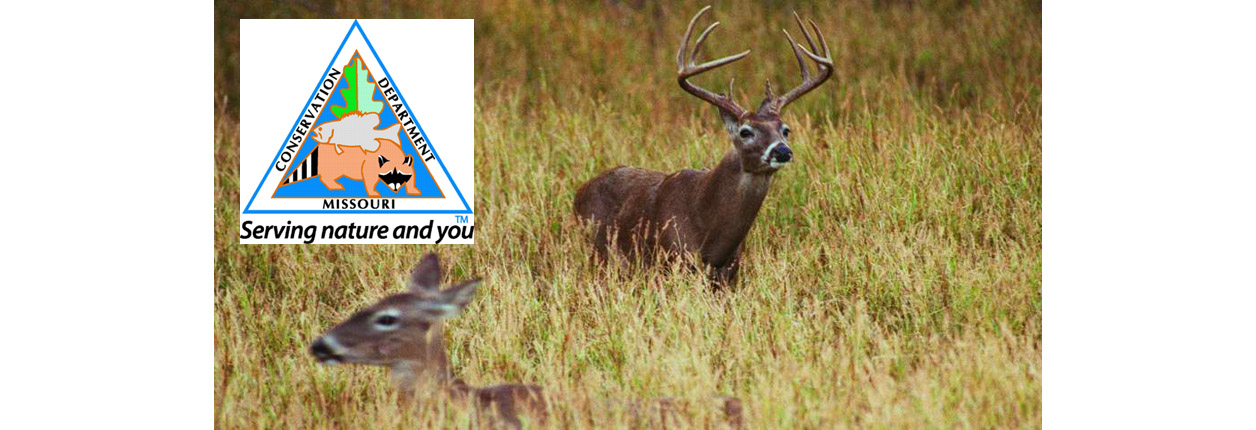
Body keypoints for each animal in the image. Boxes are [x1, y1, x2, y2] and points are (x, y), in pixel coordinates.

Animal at [573, 5, 833, 289]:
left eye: (785, 129)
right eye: (745, 131)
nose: (782, 151)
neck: (710, 233)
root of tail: (579, 192)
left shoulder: (730, 272)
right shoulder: (673, 260)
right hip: (599, 252)